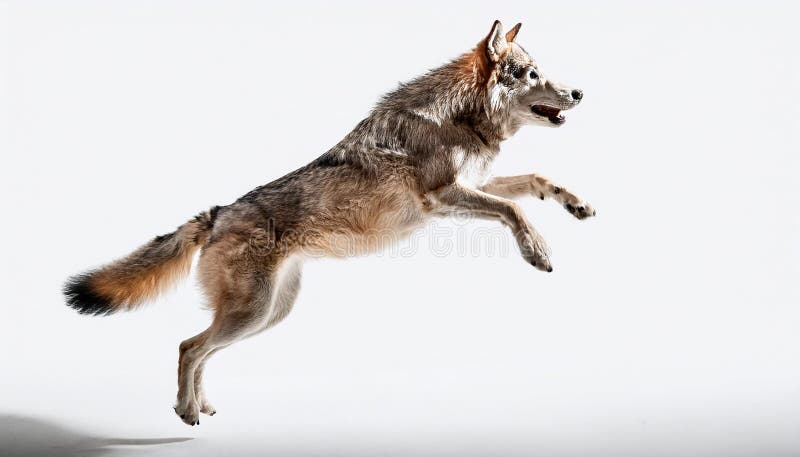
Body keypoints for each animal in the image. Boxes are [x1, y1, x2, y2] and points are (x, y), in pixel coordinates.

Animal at [64, 20, 594, 426]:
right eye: (533, 74)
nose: (579, 92)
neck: (460, 117)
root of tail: (216, 214)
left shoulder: (475, 185)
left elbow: (534, 181)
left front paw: (576, 205)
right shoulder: (444, 196)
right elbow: (515, 210)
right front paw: (538, 251)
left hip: (268, 315)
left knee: (199, 349)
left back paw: (201, 405)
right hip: (252, 314)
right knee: (187, 347)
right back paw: (186, 411)